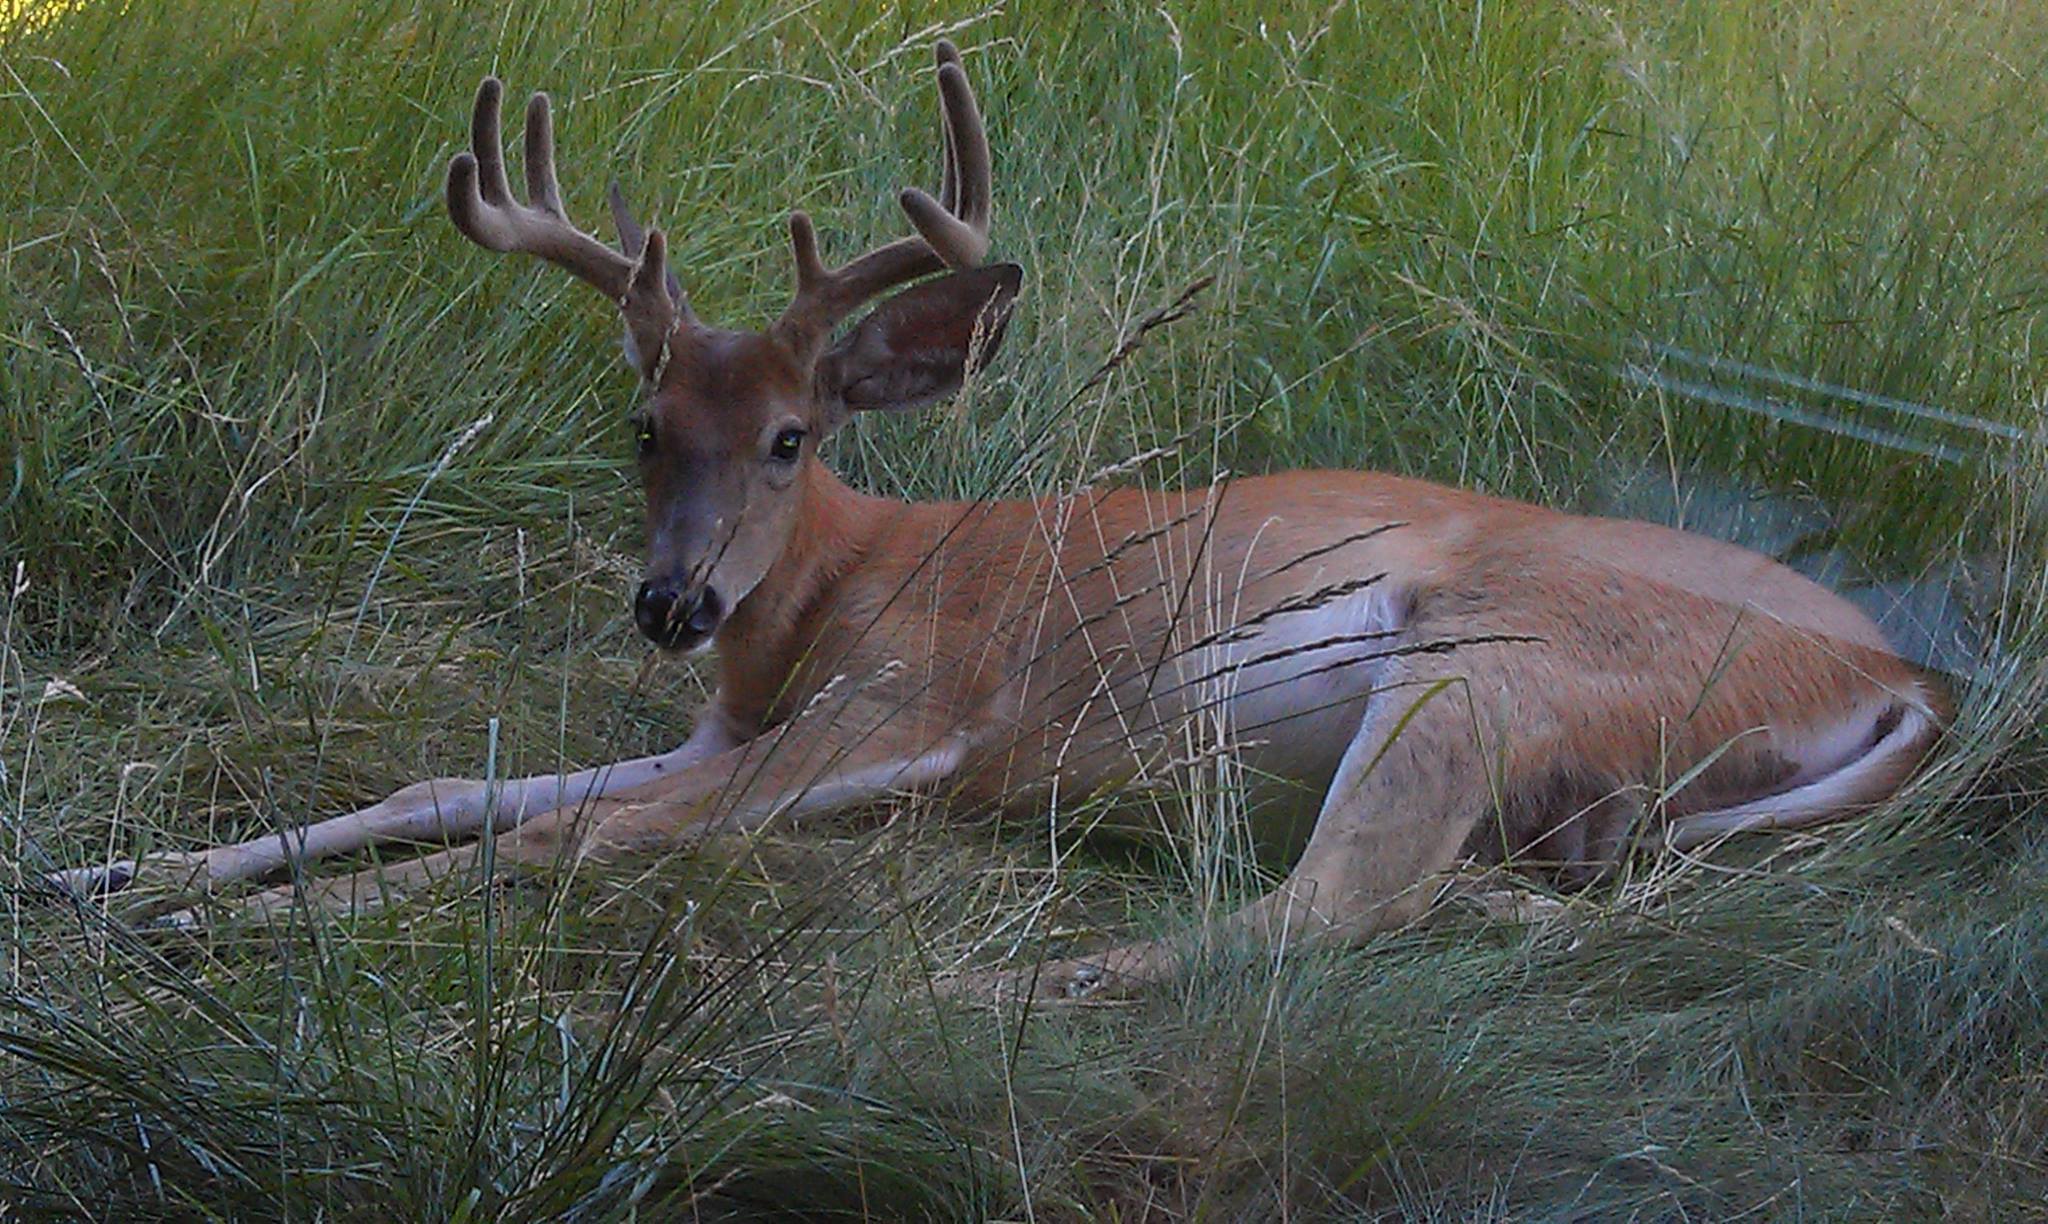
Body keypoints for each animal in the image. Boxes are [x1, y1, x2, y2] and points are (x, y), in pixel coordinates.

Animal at [53, 41, 1946, 1000]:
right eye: (640, 426)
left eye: (793, 437)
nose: (671, 603)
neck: (829, 596)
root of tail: (1904, 680)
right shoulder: (731, 719)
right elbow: (448, 787)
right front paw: (115, 867)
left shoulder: (910, 710)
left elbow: (568, 840)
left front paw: (207, 927)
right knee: (1481, 897)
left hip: (1488, 670)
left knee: (1323, 913)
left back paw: (967, 990)